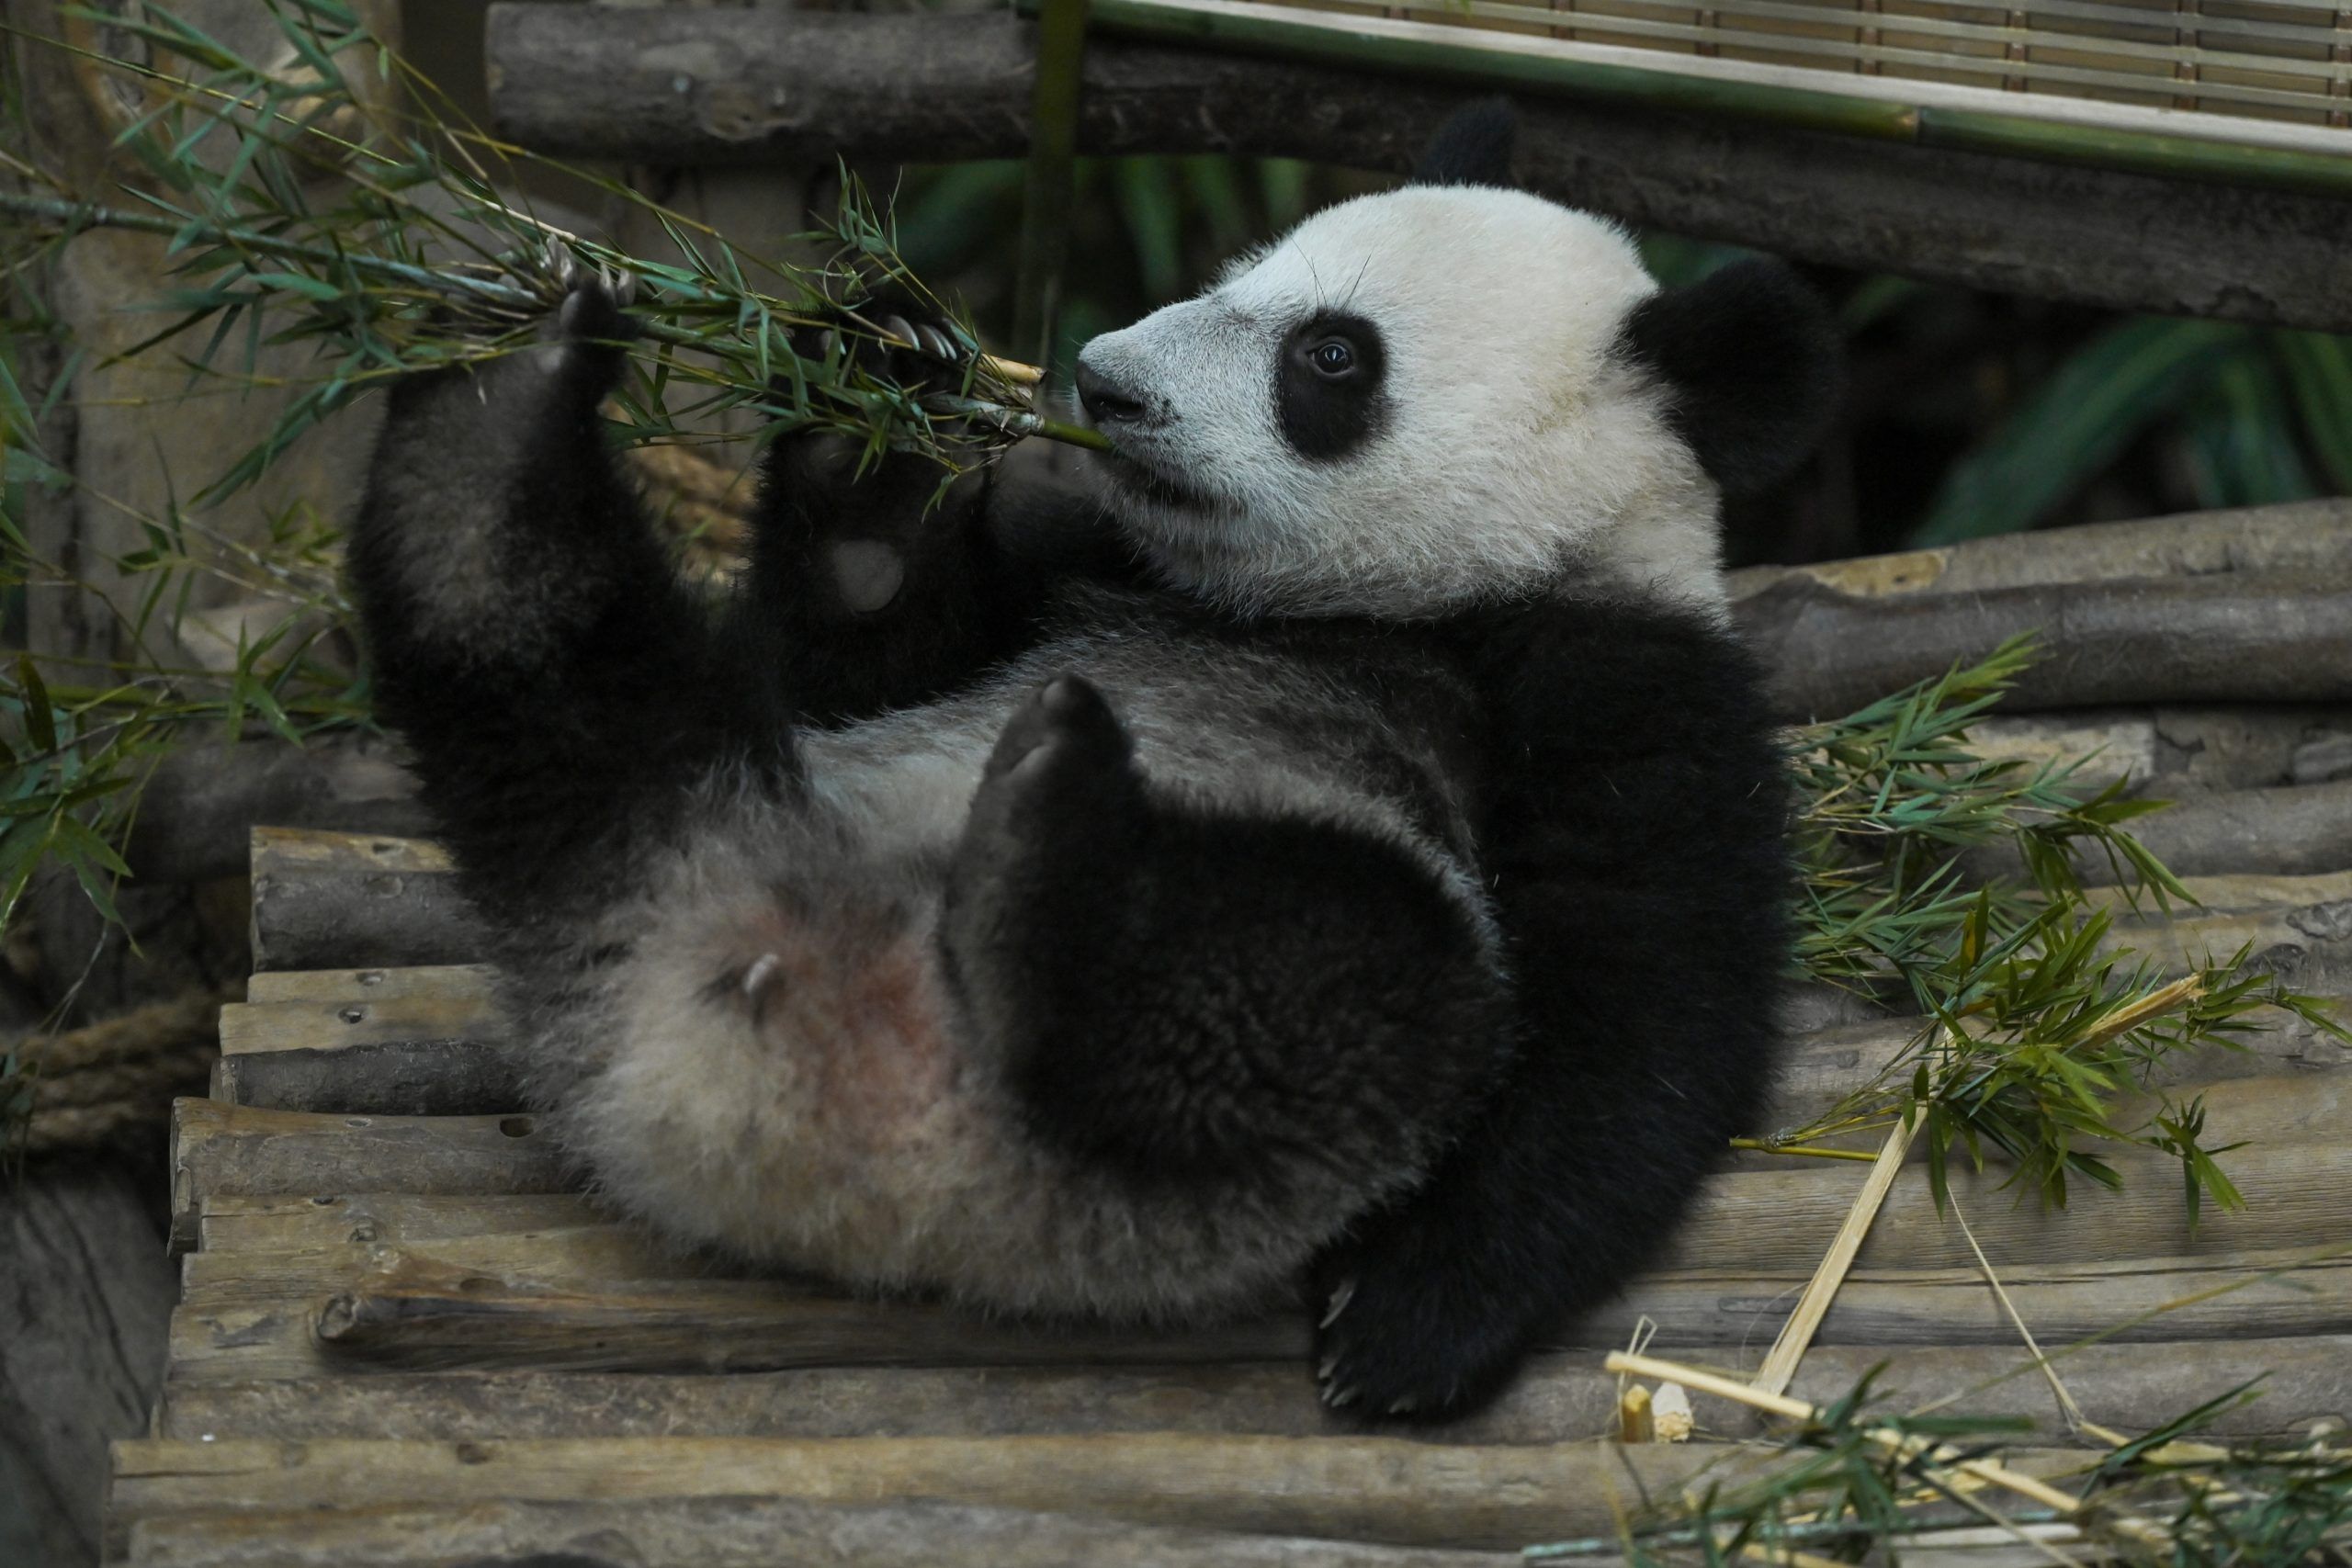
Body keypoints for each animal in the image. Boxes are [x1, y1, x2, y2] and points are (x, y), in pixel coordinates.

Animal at [346, 102, 1839, 1419]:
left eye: (1332, 358)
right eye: (1237, 270)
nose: (1107, 382)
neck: (1388, 605)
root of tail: (715, 1069)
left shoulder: (1626, 685)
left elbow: (1643, 1013)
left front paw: (1412, 1323)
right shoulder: (1076, 574)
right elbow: (849, 662)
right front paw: (879, 412)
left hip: (1183, 1155)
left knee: (1342, 986)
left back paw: (1053, 854)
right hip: (653, 809)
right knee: (550, 674)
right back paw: (493, 438)